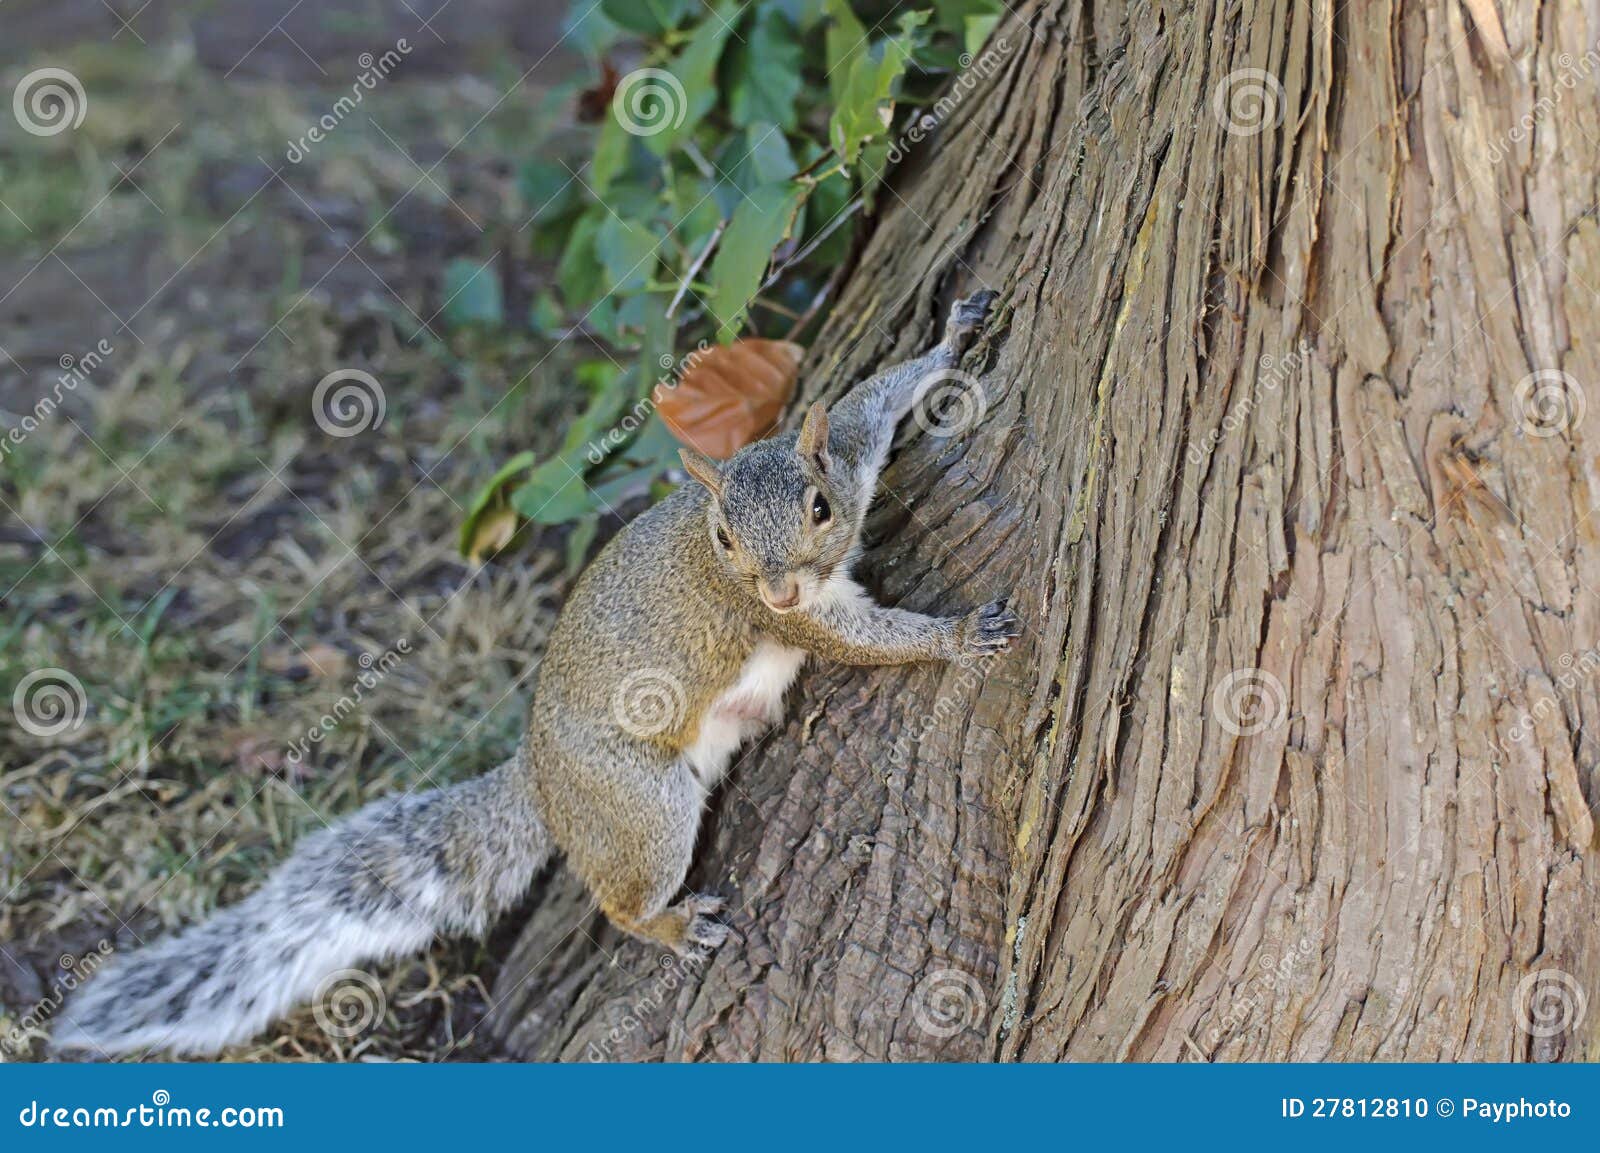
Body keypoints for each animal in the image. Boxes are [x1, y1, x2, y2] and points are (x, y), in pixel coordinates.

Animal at [53, 290, 1017, 1057]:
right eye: (725, 539)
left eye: (817, 508)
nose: (777, 587)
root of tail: (543, 779)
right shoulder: (784, 618)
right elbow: (866, 638)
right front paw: (959, 635)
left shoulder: (847, 457)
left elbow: (870, 403)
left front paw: (952, 338)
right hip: (640, 805)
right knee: (621, 895)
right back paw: (669, 923)